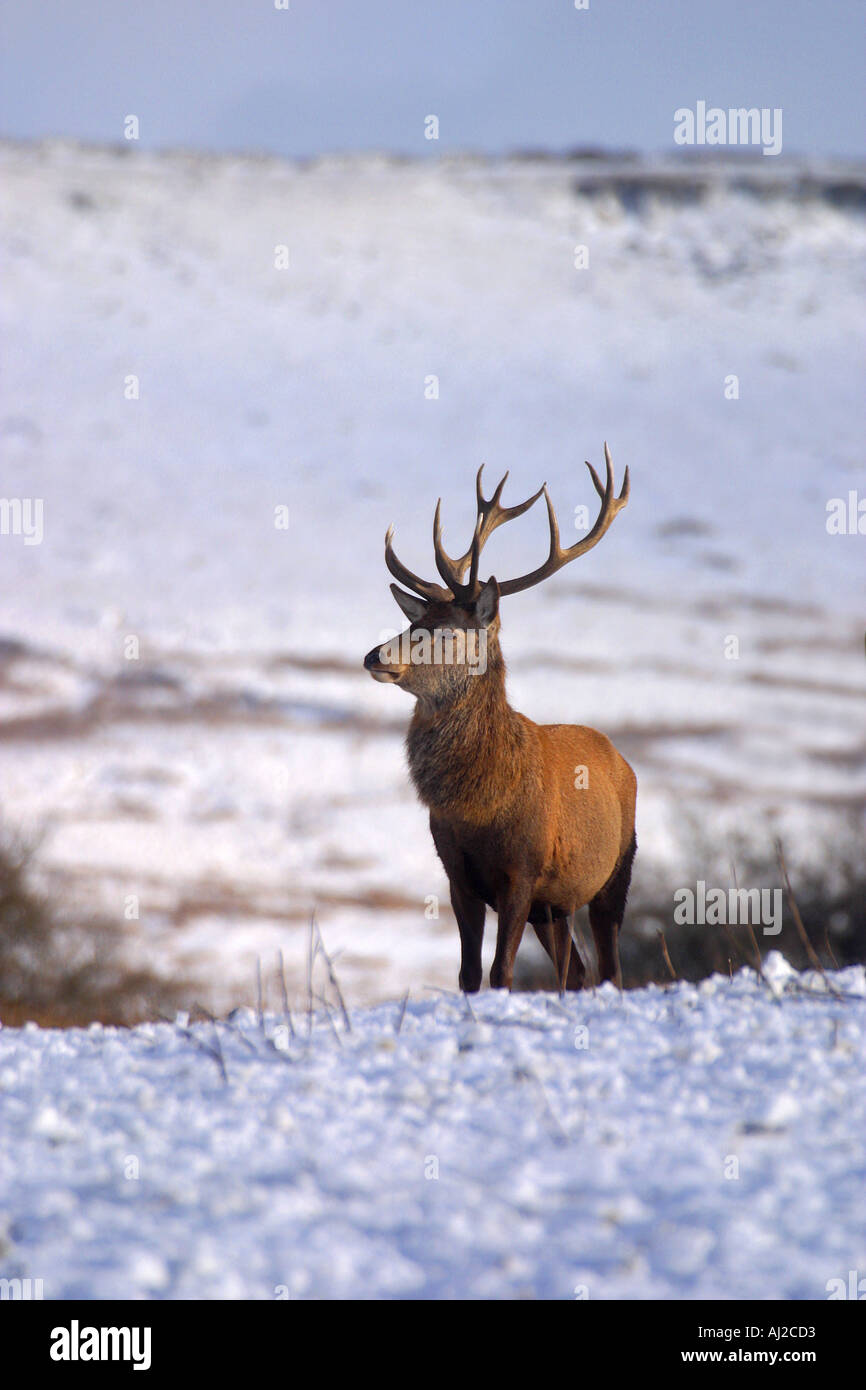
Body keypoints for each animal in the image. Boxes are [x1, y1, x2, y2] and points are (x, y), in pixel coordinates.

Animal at [363, 444, 636, 993]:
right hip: (553, 908)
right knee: (575, 971)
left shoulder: (524, 871)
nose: (373, 656)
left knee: (610, 969)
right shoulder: (457, 873)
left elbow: (501, 971)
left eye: (447, 632)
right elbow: (468, 973)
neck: (480, 806)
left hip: (616, 868)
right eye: (414, 619)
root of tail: (622, 760)